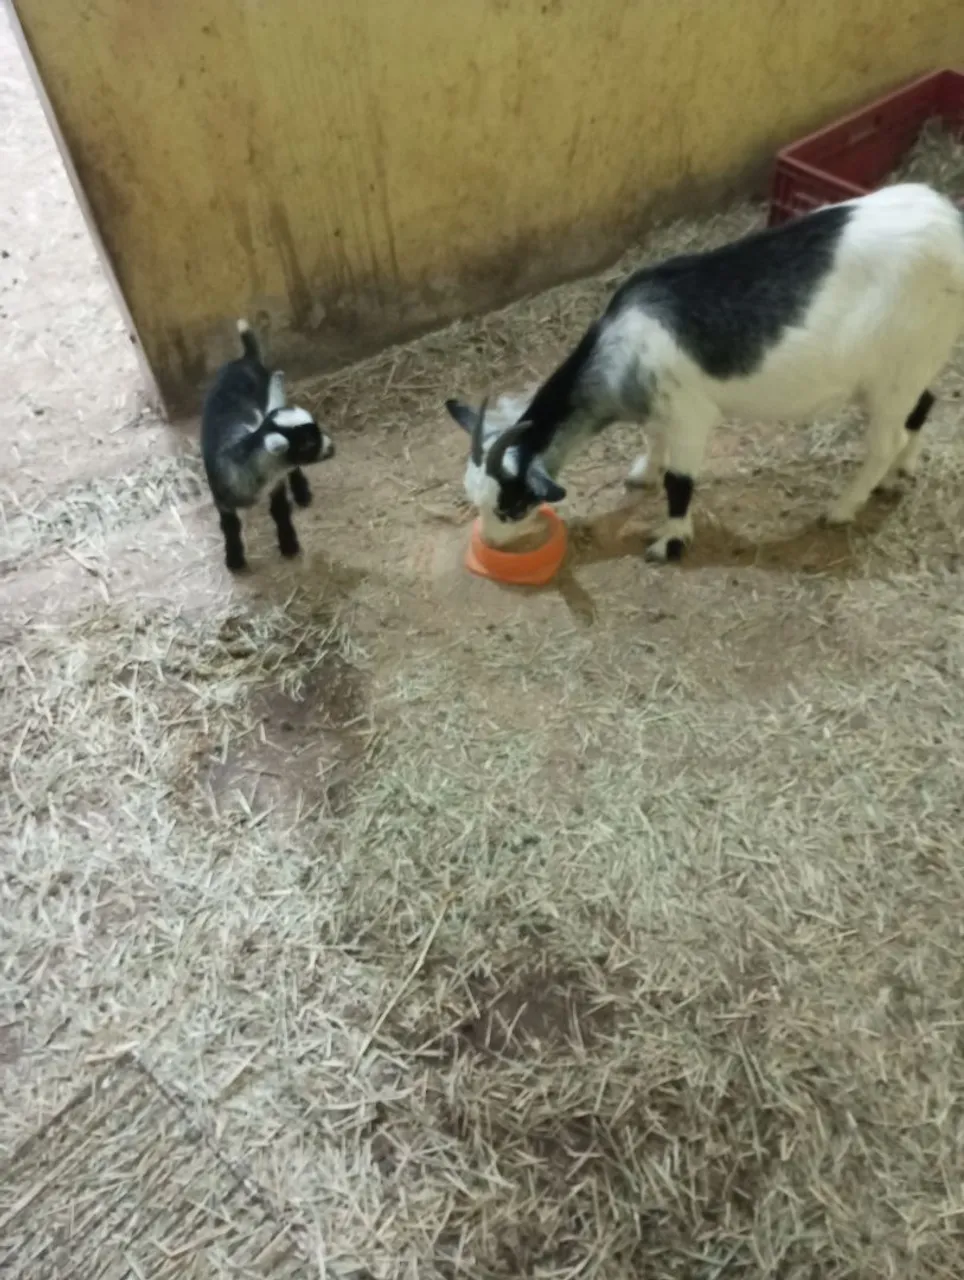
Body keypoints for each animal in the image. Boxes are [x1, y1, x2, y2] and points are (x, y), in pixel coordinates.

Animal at [201, 320, 334, 571]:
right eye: (308, 442)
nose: (332, 447)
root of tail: (245, 358)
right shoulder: (222, 497)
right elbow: (229, 527)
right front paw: (234, 559)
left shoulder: (276, 484)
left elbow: (280, 512)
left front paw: (289, 545)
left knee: (294, 470)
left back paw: (302, 493)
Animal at [445, 183, 964, 561]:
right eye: (475, 497)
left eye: (510, 506)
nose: (489, 543)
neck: (620, 350)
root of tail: (951, 225)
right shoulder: (661, 407)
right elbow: (652, 440)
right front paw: (642, 473)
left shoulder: (691, 412)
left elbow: (680, 482)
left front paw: (669, 542)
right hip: (912, 365)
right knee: (924, 405)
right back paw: (900, 473)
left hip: (893, 376)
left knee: (884, 441)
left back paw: (841, 508)